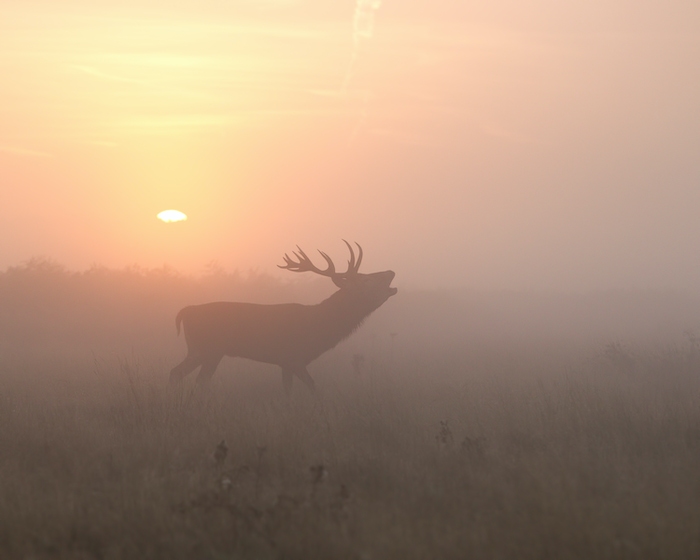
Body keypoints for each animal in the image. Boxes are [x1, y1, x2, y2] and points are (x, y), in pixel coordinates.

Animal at [169, 241, 397, 393]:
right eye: (366, 281)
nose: (391, 272)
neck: (318, 328)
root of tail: (185, 311)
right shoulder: (293, 357)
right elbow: (313, 388)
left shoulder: (285, 362)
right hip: (207, 348)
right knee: (186, 376)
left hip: (204, 351)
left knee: (184, 375)